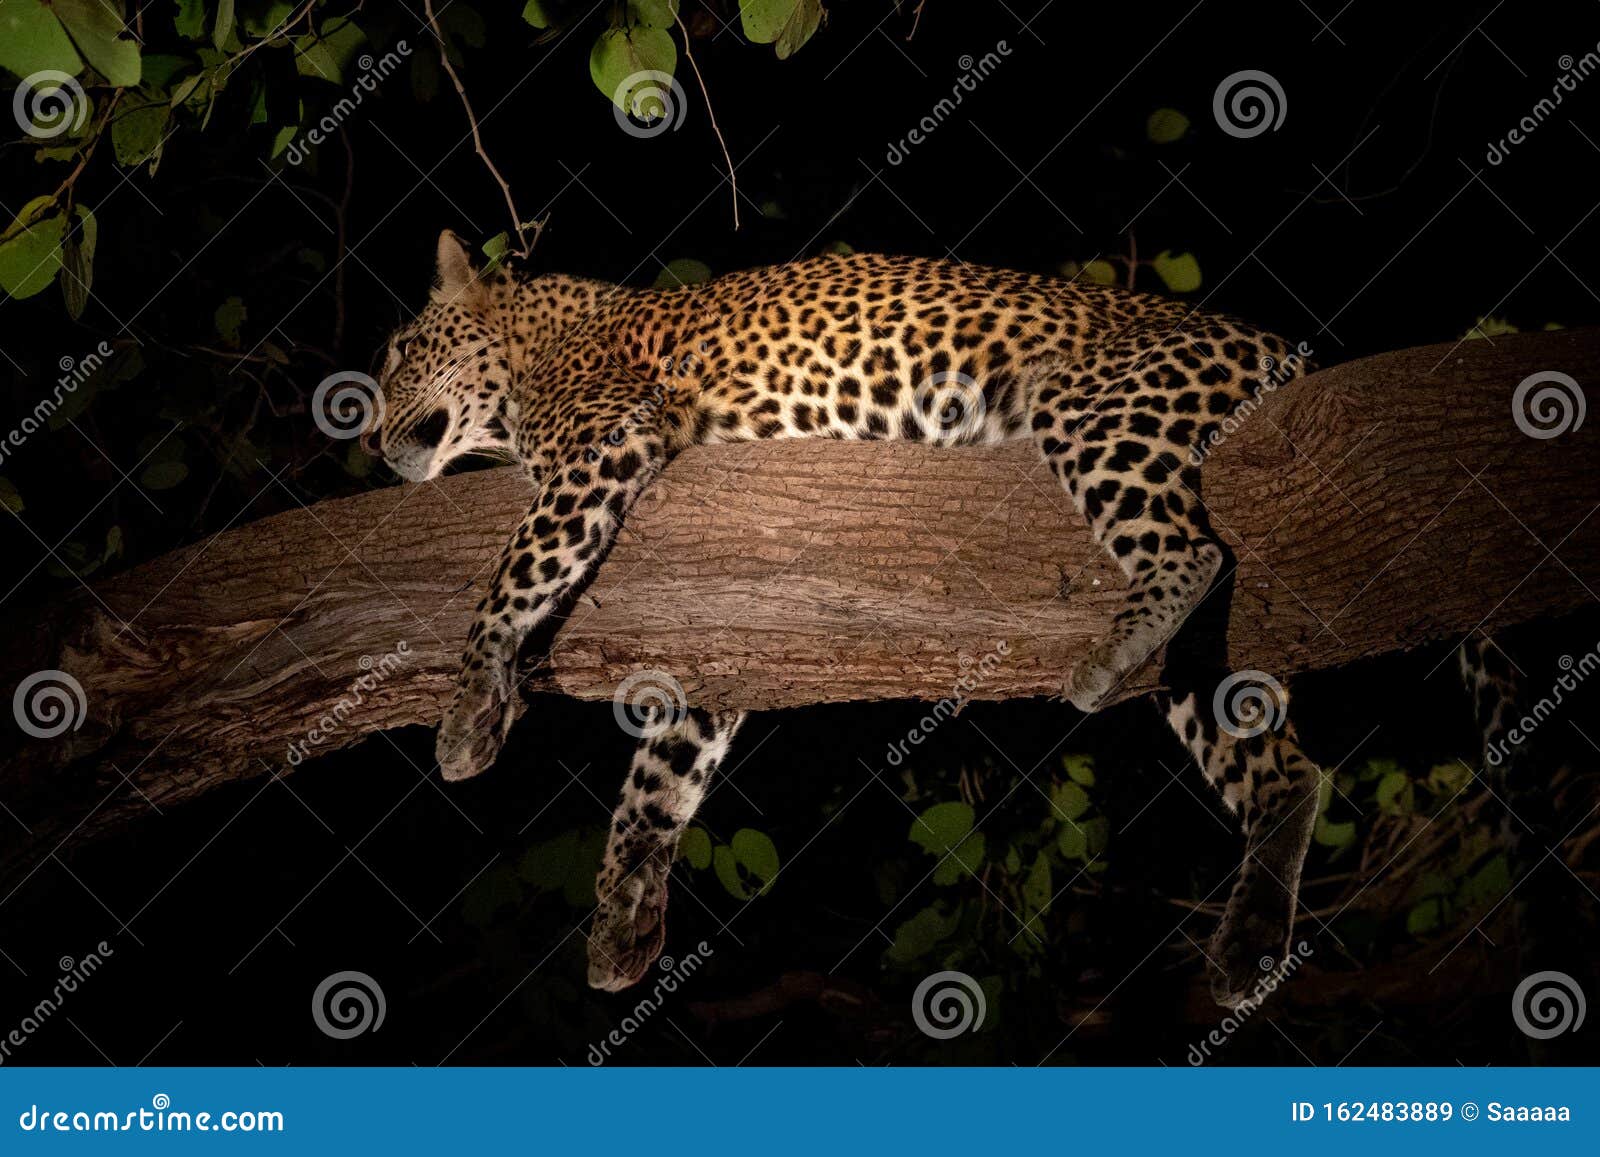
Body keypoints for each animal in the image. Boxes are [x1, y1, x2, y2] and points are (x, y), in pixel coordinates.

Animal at [364, 230, 1324, 1008]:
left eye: (401, 353)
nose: (368, 438)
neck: (534, 347)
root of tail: (1279, 343)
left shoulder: (597, 449)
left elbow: (513, 573)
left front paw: (468, 710)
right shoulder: (721, 635)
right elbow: (661, 772)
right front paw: (625, 912)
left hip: (1100, 403)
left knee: (1194, 555)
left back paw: (1109, 655)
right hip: (1193, 662)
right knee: (1290, 770)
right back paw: (1249, 934)